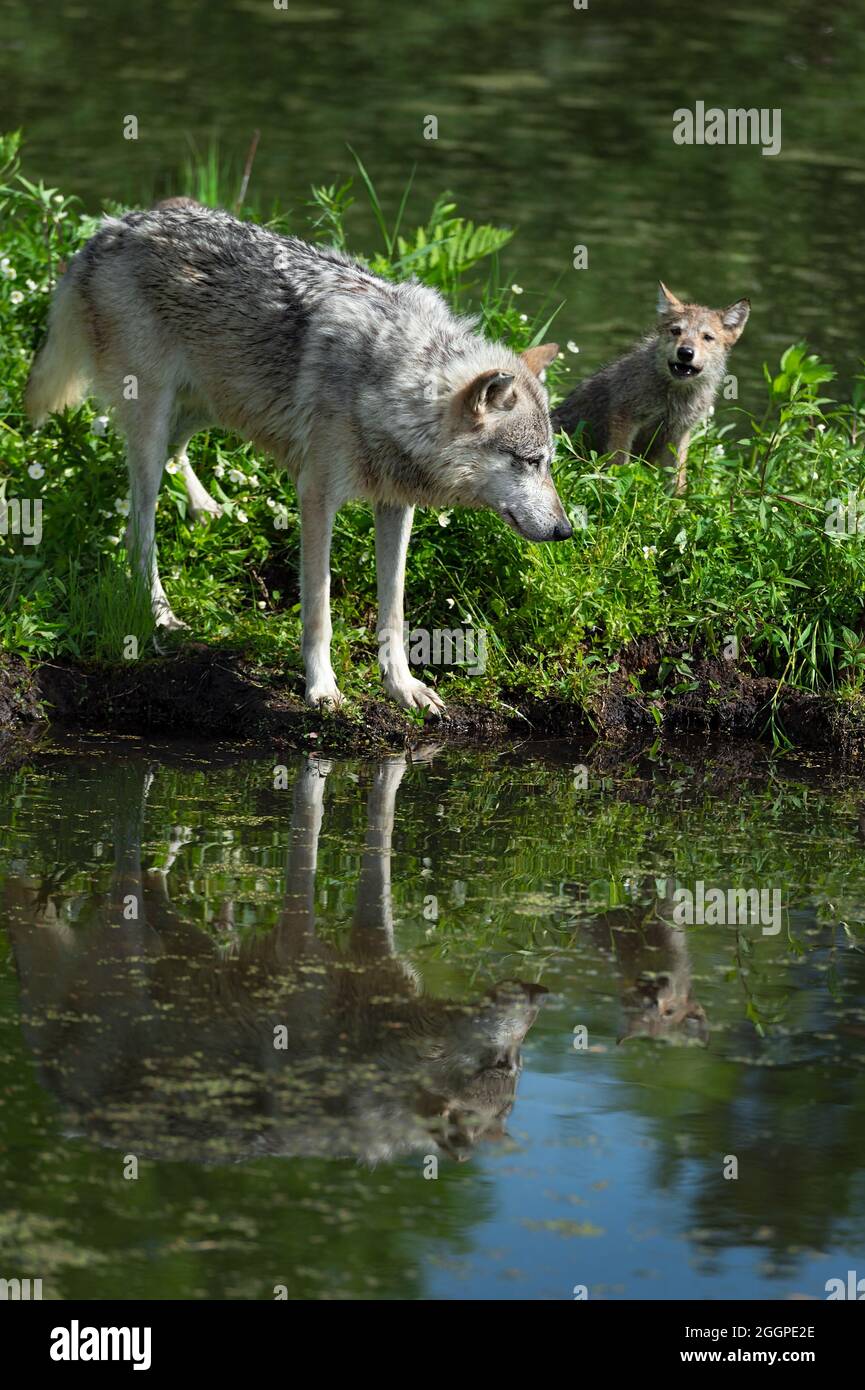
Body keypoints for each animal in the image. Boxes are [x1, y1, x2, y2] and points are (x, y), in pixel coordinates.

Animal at [25, 205, 570, 713]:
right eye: (528, 461)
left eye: (548, 462)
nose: (566, 531)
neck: (388, 379)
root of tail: (112, 226)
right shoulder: (316, 498)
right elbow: (319, 610)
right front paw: (322, 688)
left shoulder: (396, 504)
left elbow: (394, 610)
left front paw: (402, 687)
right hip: (152, 416)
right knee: (141, 523)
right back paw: (160, 609)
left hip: (210, 407)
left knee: (175, 460)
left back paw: (206, 509)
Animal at [552, 282, 749, 492]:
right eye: (676, 331)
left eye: (707, 337)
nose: (686, 352)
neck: (674, 397)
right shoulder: (625, 418)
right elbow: (619, 462)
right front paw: (615, 490)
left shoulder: (679, 434)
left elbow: (678, 477)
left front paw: (677, 500)